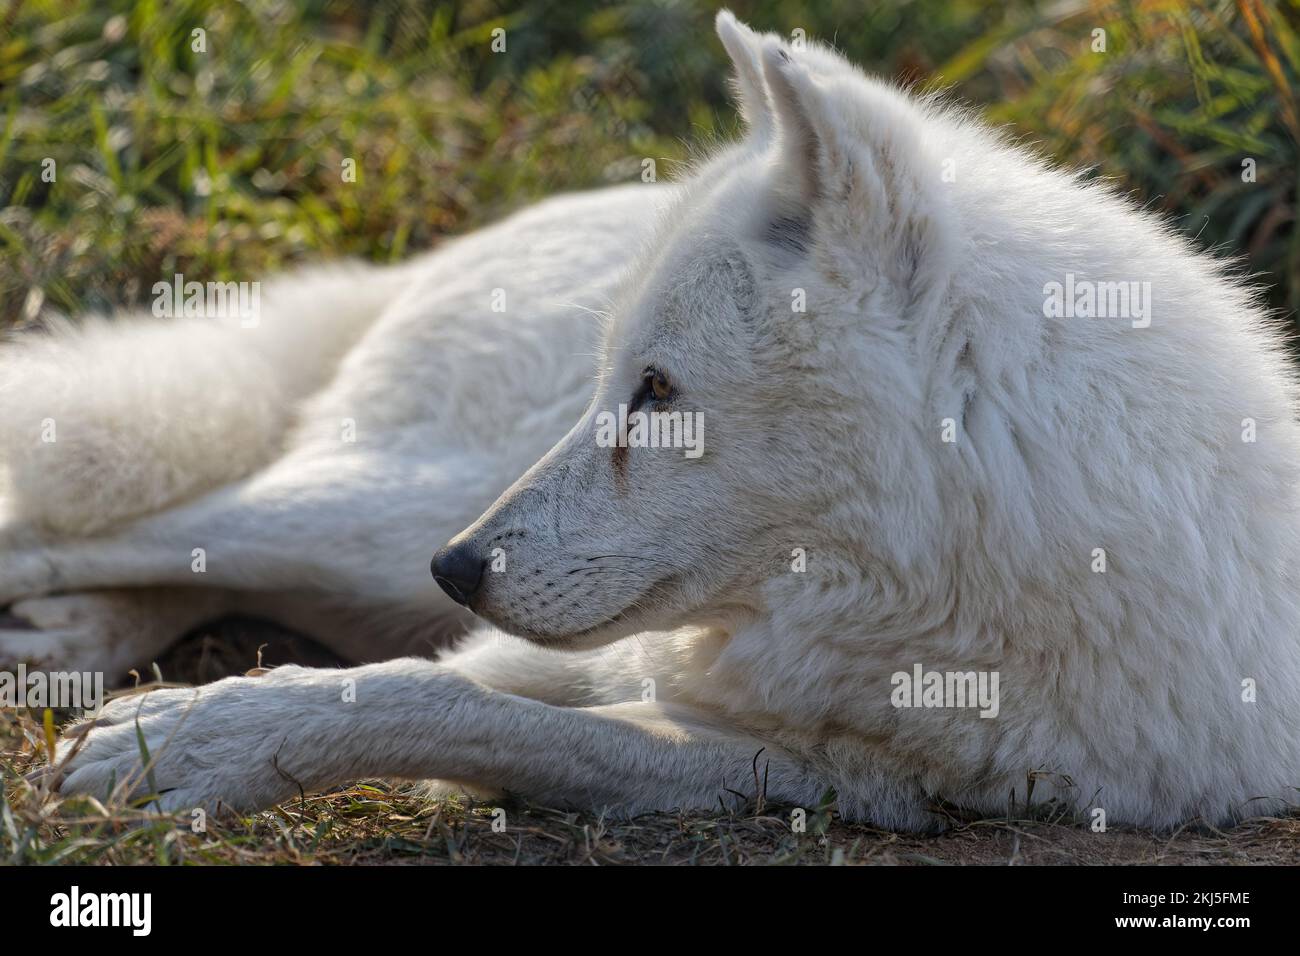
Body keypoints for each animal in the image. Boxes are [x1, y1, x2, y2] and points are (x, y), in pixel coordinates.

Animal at [8, 12, 1299, 830]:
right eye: (615, 381)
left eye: (660, 391)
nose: (458, 568)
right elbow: (425, 682)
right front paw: (185, 733)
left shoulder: (839, 772)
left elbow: (471, 707)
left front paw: (191, 736)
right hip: (380, 510)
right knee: (116, 523)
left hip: (375, 537)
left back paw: (65, 638)